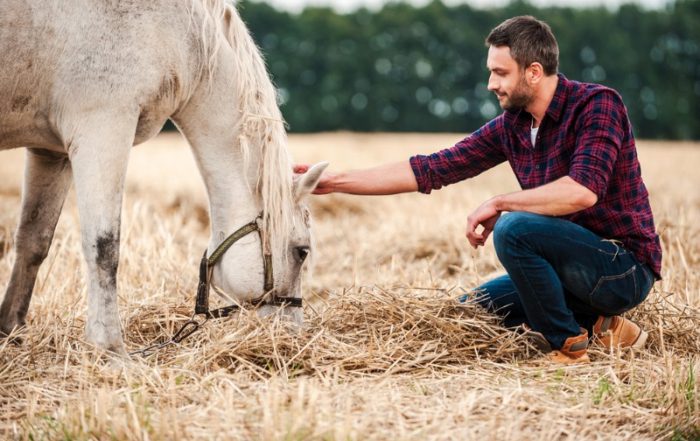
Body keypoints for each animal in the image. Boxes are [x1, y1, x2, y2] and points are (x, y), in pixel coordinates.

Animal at [0, 0, 327, 356]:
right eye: (302, 251)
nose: (291, 333)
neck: (185, 36)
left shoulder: (51, 150)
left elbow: (34, 241)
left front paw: (11, 332)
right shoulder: (103, 128)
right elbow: (104, 246)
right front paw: (110, 348)